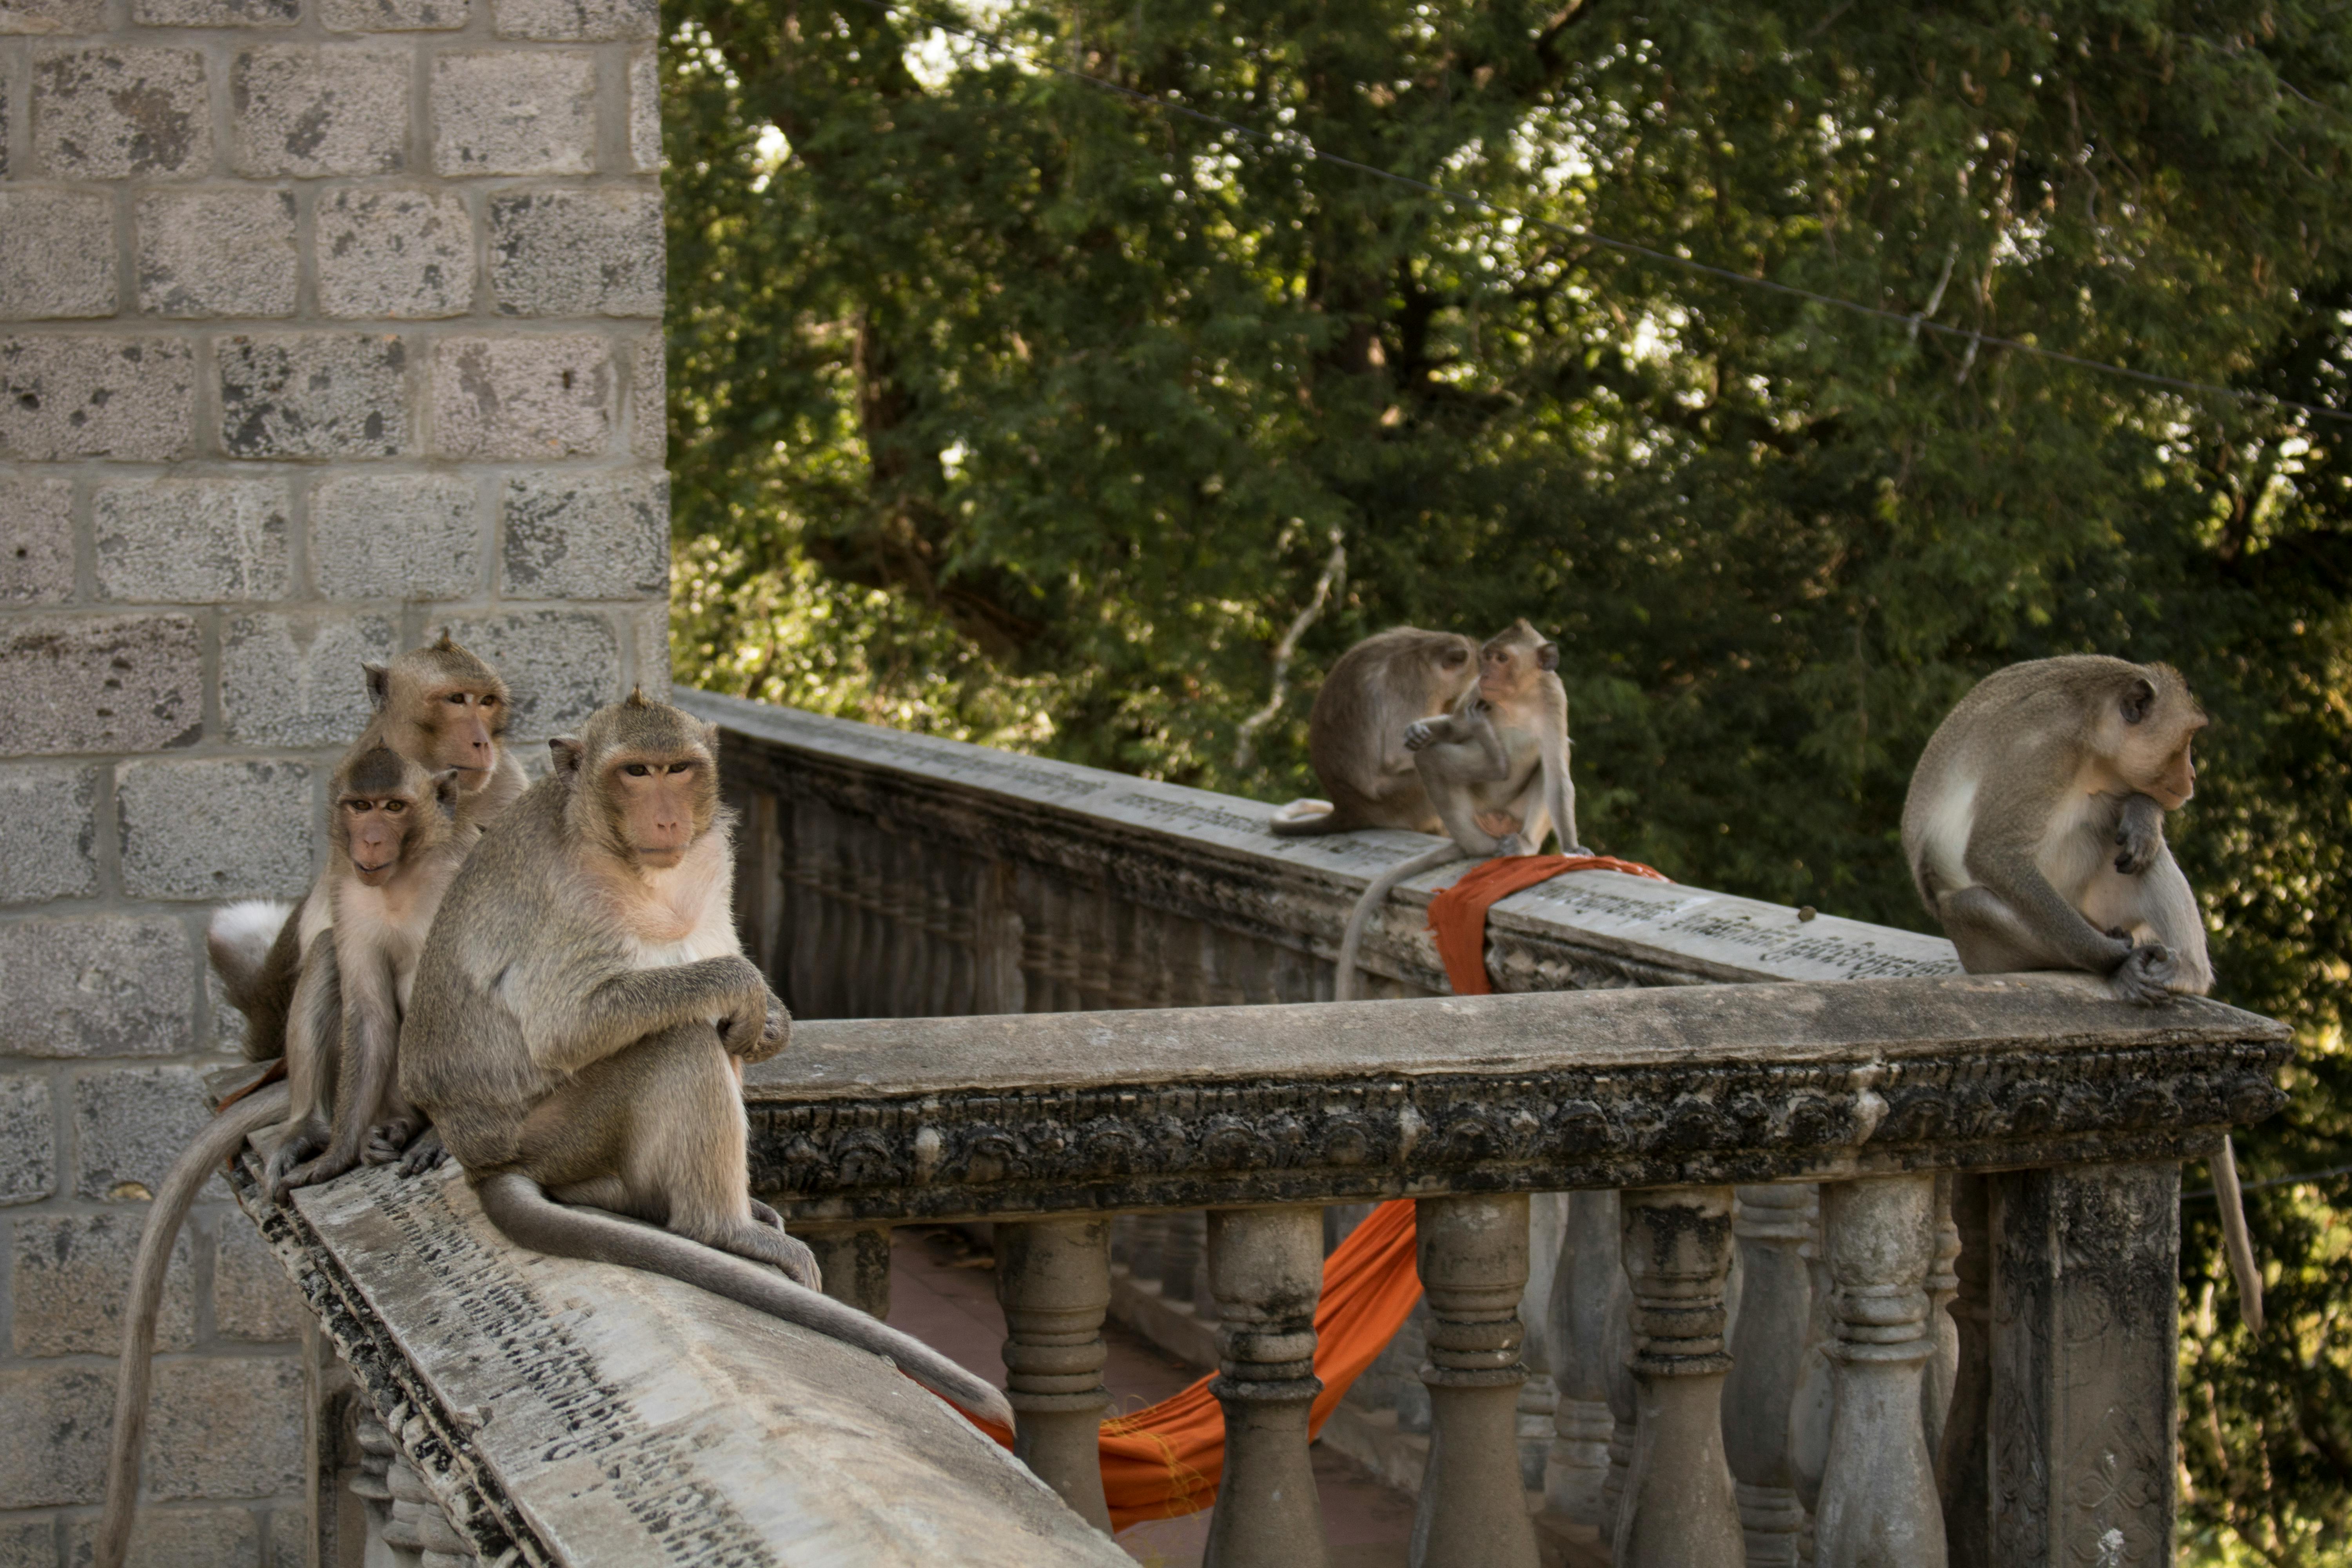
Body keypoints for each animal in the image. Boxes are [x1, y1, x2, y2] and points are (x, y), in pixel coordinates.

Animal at [398, 691, 1014, 1426]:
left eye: (677, 769)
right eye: (635, 771)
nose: (666, 816)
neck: (621, 850)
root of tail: (484, 1163)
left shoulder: (710, 854)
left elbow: (722, 967)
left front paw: (772, 1019)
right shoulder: (572, 891)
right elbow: (567, 1026)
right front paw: (745, 986)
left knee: (711, 1031)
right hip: (561, 1140)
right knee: (682, 1037)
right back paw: (723, 1229)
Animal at [1270, 627, 1481, 837]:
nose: (1451, 710)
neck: (1424, 653)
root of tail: (1348, 809)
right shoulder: (1414, 685)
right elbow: (1396, 756)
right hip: (1400, 801)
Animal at [1331, 619, 1584, 1000]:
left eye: (1501, 658)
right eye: (1488, 657)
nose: (1487, 672)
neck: (1518, 698)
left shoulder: (1554, 698)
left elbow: (1557, 775)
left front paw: (1572, 848)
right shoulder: (1476, 692)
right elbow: (1452, 728)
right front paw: (1423, 730)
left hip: (1512, 815)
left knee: (1540, 768)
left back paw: (1523, 843)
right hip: (1475, 813)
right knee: (1433, 758)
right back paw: (1486, 805)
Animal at [1902, 654, 2258, 1329]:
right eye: (2187, 742)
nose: (2193, 774)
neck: (2090, 740)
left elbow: (2128, 813)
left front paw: (2144, 814)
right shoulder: (2039, 752)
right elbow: (1997, 854)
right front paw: (2115, 964)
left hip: (2096, 899)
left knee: (2118, 836)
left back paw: (2185, 967)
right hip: (2000, 941)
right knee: (1979, 897)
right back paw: (2115, 960)